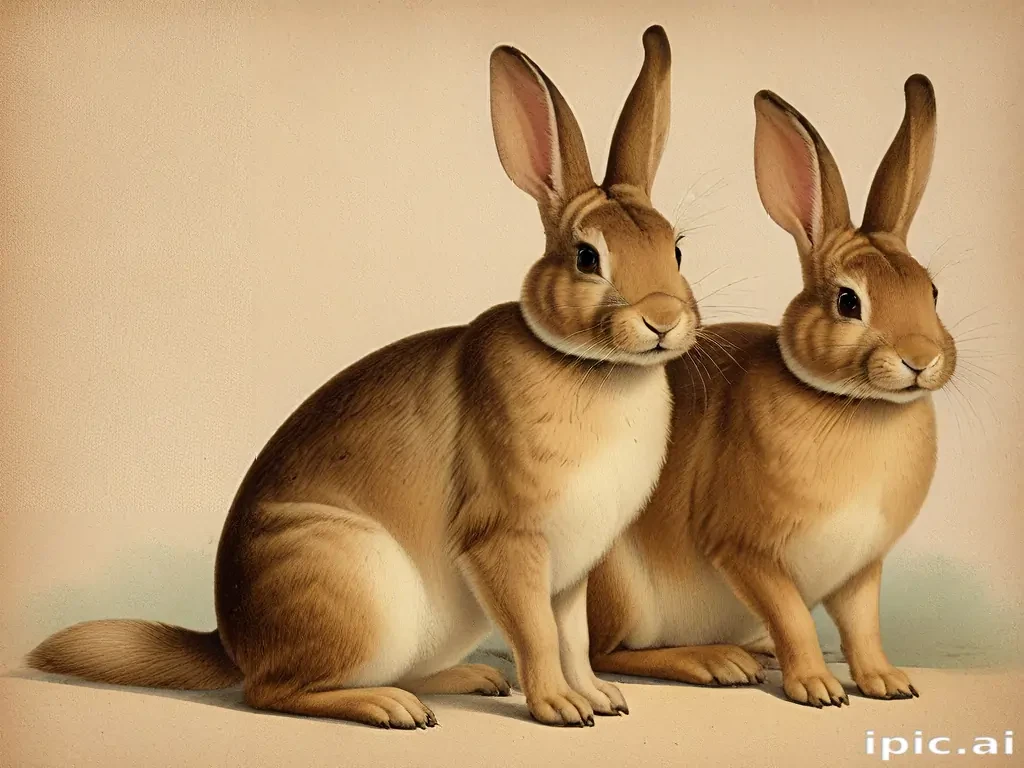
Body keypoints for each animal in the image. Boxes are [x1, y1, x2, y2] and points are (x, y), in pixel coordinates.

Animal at [26, 25, 702, 729]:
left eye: (677, 249)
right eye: (587, 257)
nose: (663, 320)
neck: (593, 368)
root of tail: (231, 641)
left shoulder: (570, 573)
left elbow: (571, 637)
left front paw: (599, 698)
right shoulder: (506, 543)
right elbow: (538, 635)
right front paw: (560, 708)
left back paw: (469, 679)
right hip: (354, 580)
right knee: (271, 692)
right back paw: (390, 707)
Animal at [586, 74, 957, 708]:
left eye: (930, 292)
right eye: (848, 301)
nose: (922, 359)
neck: (856, 406)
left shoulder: (860, 568)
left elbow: (862, 625)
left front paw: (886, 682)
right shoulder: (747, 551)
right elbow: (793, 618)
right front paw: (817, 688)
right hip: (620, 588)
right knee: (607, 653)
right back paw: (716, 661)